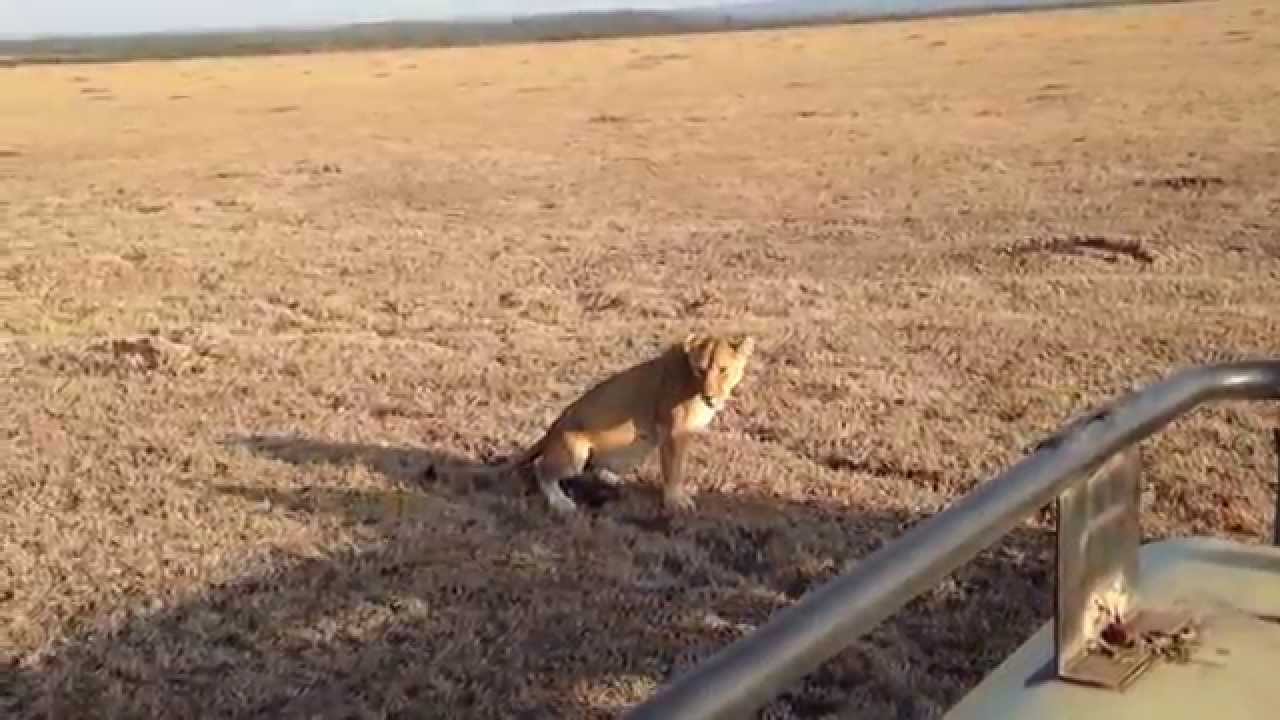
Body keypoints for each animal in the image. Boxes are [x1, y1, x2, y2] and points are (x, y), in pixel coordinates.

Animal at [426, 332, 756, 514]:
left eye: (723, 369)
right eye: (701, 369)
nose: (711, 396)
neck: (691, 380)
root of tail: (553, 427)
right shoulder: (674, 434)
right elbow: (674, 471)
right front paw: (676, 502)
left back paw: (611, 478)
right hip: (576, 450)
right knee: (541, 469)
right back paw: (561, 503)